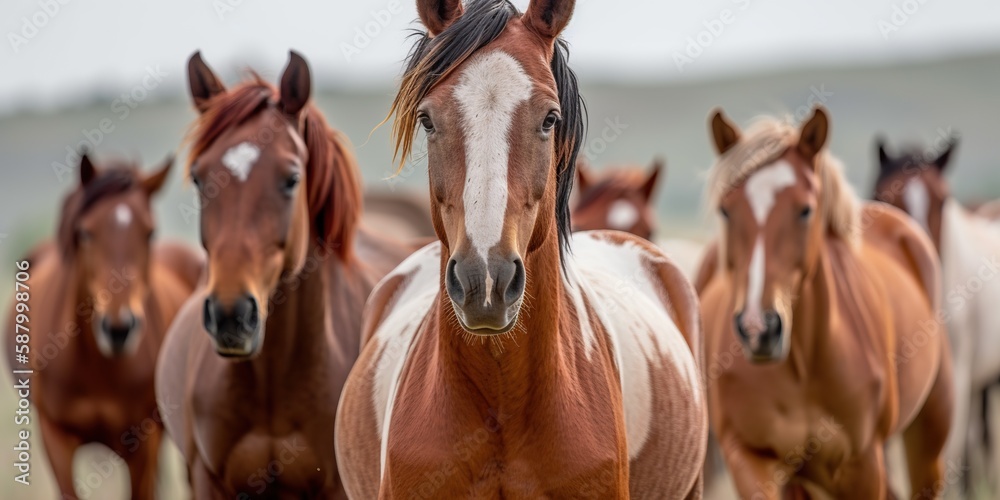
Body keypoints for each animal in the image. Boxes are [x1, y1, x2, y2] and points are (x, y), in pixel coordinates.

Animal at [4, 152, 202, 500]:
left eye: (149, 233)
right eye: (85, 233)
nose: (119, 329)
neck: (96, 366)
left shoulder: (142, 441)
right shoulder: (55, 437)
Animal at [695, 107, 953, 498]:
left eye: (805, 210)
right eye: (726, 210)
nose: (758, 329)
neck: (803, 365)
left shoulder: (864, 465)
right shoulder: (750, 457)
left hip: (929, 440)